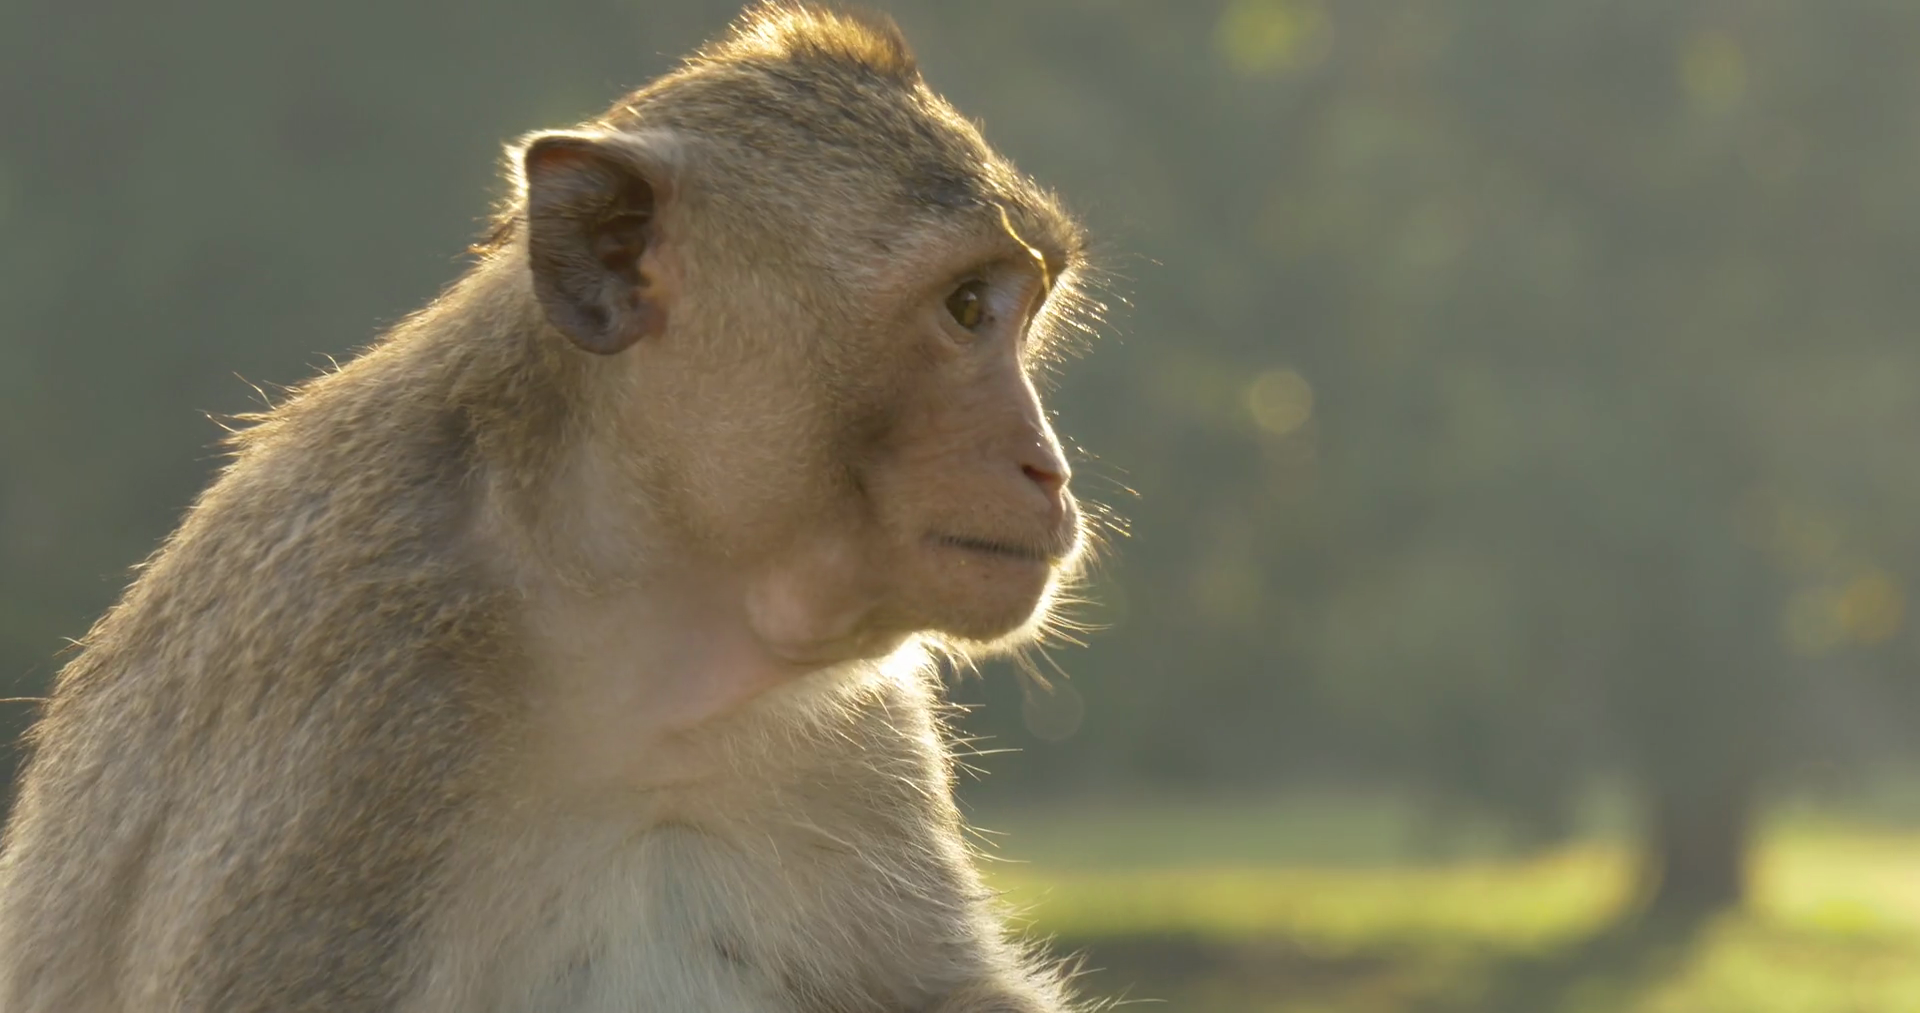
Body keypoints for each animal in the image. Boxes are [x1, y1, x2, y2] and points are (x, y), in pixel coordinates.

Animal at [0, 4, 1110, 1012]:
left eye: (1023, 310)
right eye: (965, 307)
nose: (1049, 469)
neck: (625, 618)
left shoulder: (862, 732)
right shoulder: (354, 728)